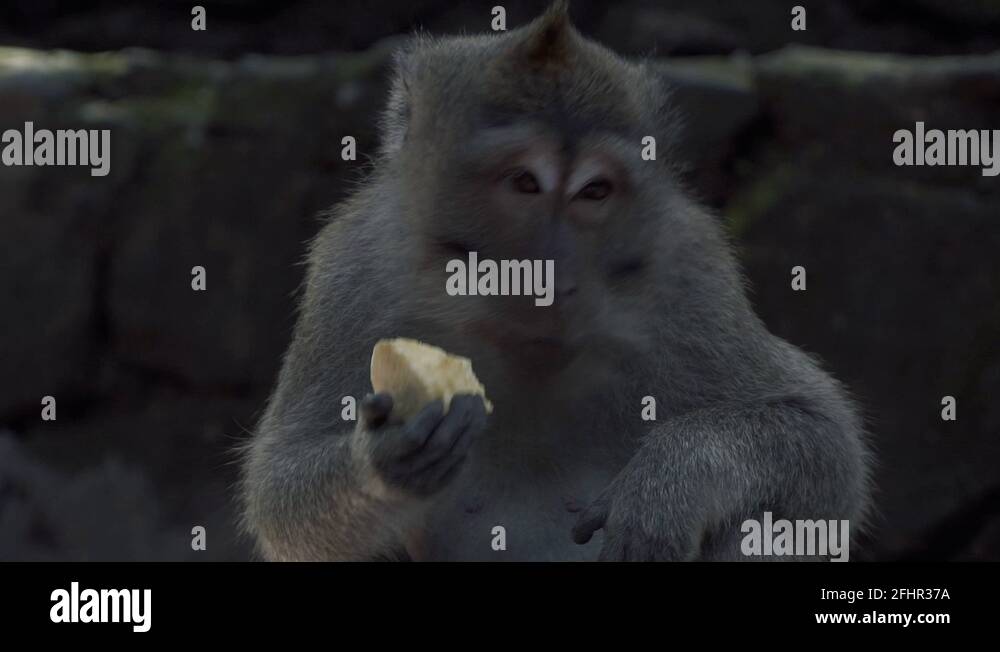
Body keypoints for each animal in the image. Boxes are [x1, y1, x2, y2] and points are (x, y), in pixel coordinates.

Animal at [239, 2, 872, 562]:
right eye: (525, 181)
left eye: (594, 191)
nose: (554, 274)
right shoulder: (354, 271)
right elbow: (278, 487)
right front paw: (387, 458)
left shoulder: (689, 271)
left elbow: (824, 441)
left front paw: (671, 484)